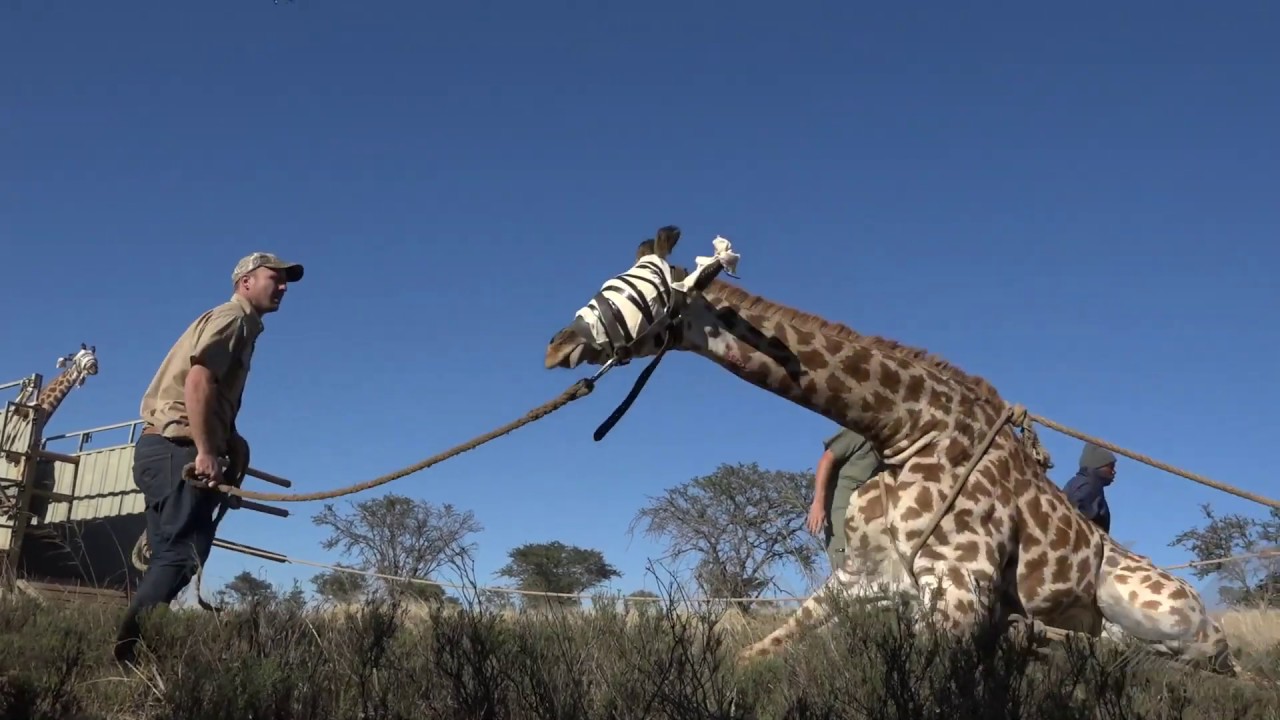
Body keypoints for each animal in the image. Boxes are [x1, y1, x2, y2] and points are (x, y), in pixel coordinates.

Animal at [541, 226, 1242, 676]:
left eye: (643, 293)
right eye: (612, 282)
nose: (557, 346)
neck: (908, 429)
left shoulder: (960, 592)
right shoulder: (860, 578)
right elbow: (754, 656)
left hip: (1161, 612)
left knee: (1200, 656)